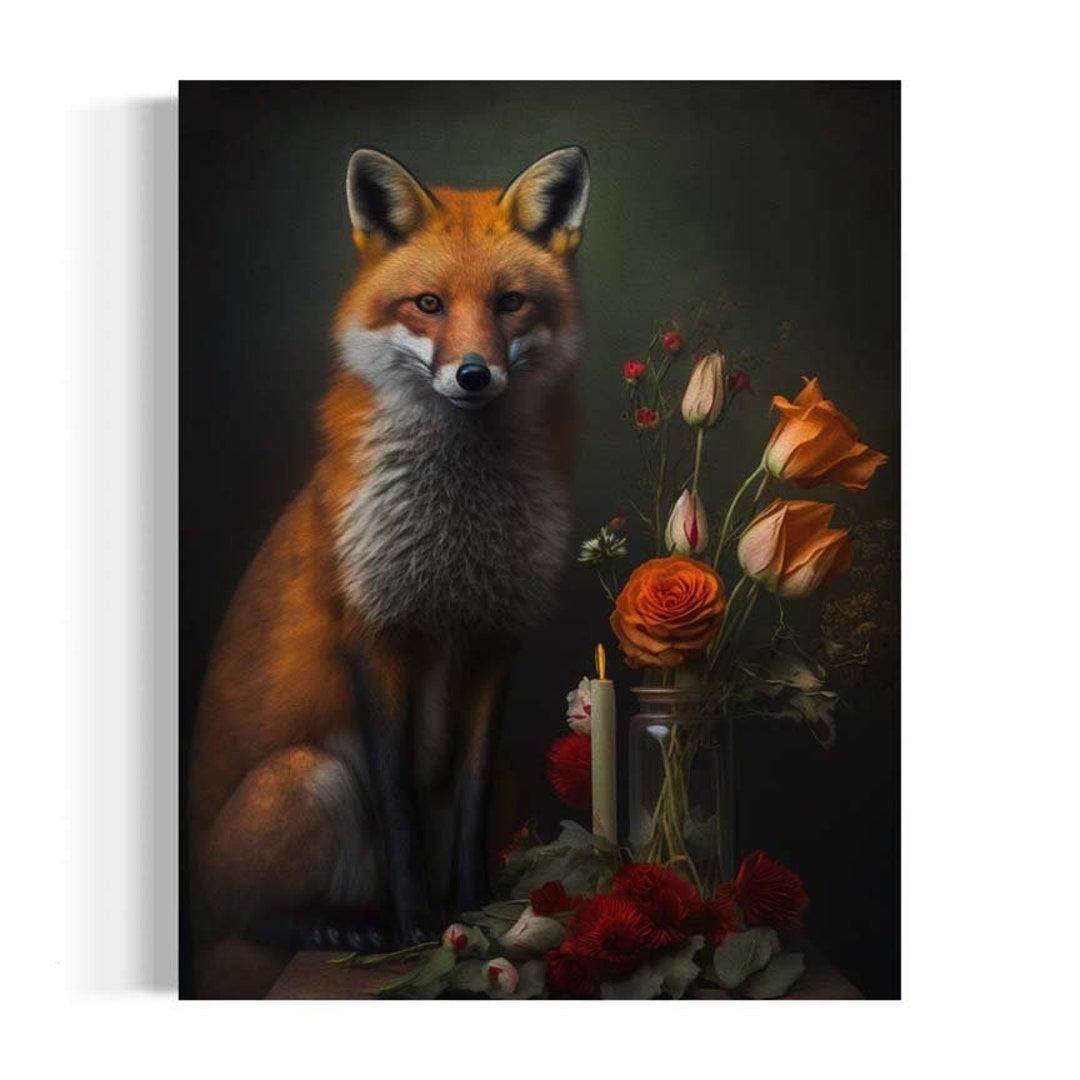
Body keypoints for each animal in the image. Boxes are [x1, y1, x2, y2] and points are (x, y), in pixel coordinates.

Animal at [188, 146, 591, 997]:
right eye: (428, 304)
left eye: (510, 303)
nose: (474, 374)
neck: (457, 541)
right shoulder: (373, 636)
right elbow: (401, 801)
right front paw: (415, 923)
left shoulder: (496, 641)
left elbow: (465, 801)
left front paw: (470, 908)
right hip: (310, 777)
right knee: (245, 922)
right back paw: (343, 927)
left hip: (507, 782)